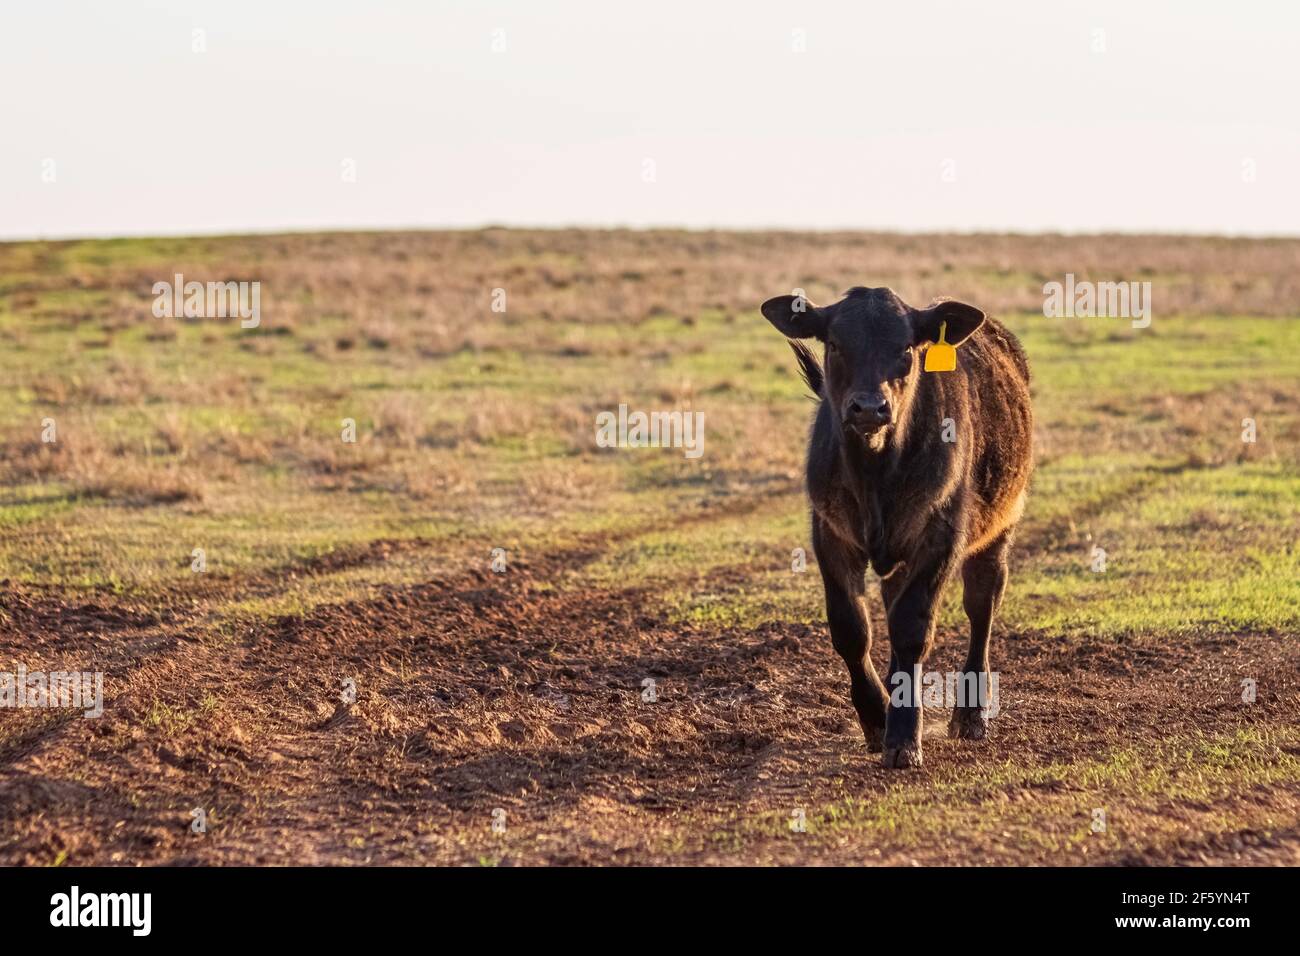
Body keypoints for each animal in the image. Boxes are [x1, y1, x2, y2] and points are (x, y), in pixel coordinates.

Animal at [761, 286, 1034, 768]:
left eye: (906, 348)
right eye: (835, 344)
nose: (869, 407)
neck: (875, 477)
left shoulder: (939, 537)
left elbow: (911, 630)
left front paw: (904, 736)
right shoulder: (829, 535)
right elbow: (851, 630)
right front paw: (876, 719)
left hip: (1000, 528)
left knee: (982, 606)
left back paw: (971, 715)